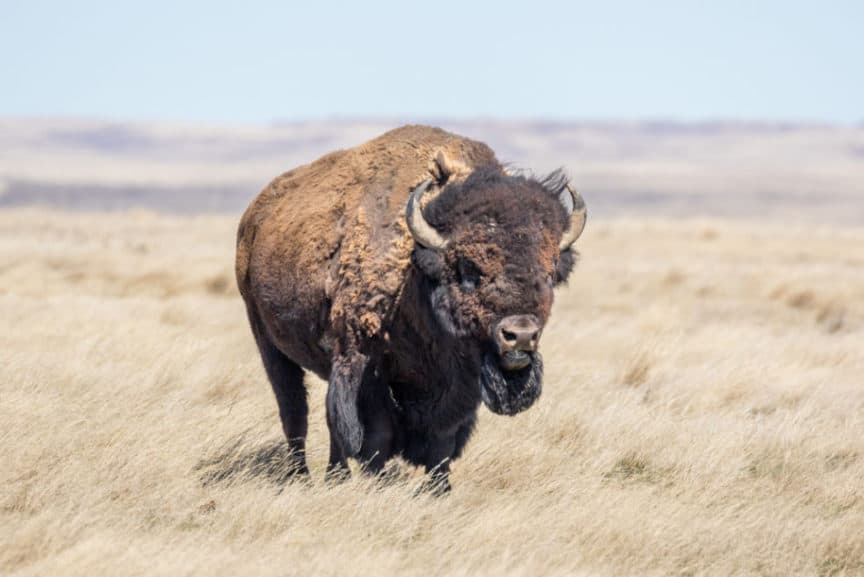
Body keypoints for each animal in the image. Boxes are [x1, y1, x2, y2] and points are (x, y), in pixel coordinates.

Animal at [235, 125, 585, 491]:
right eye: (467, 269)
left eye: (549, 273)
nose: (520, 335)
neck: (414, 271)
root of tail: (253, 216)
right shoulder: (365, 364)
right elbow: (374, 433)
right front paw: (377, 482)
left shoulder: (458, 385)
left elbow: (444, 438)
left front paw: (439, 489)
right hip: (269, 343)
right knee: (295, 412)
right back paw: (304, 476)